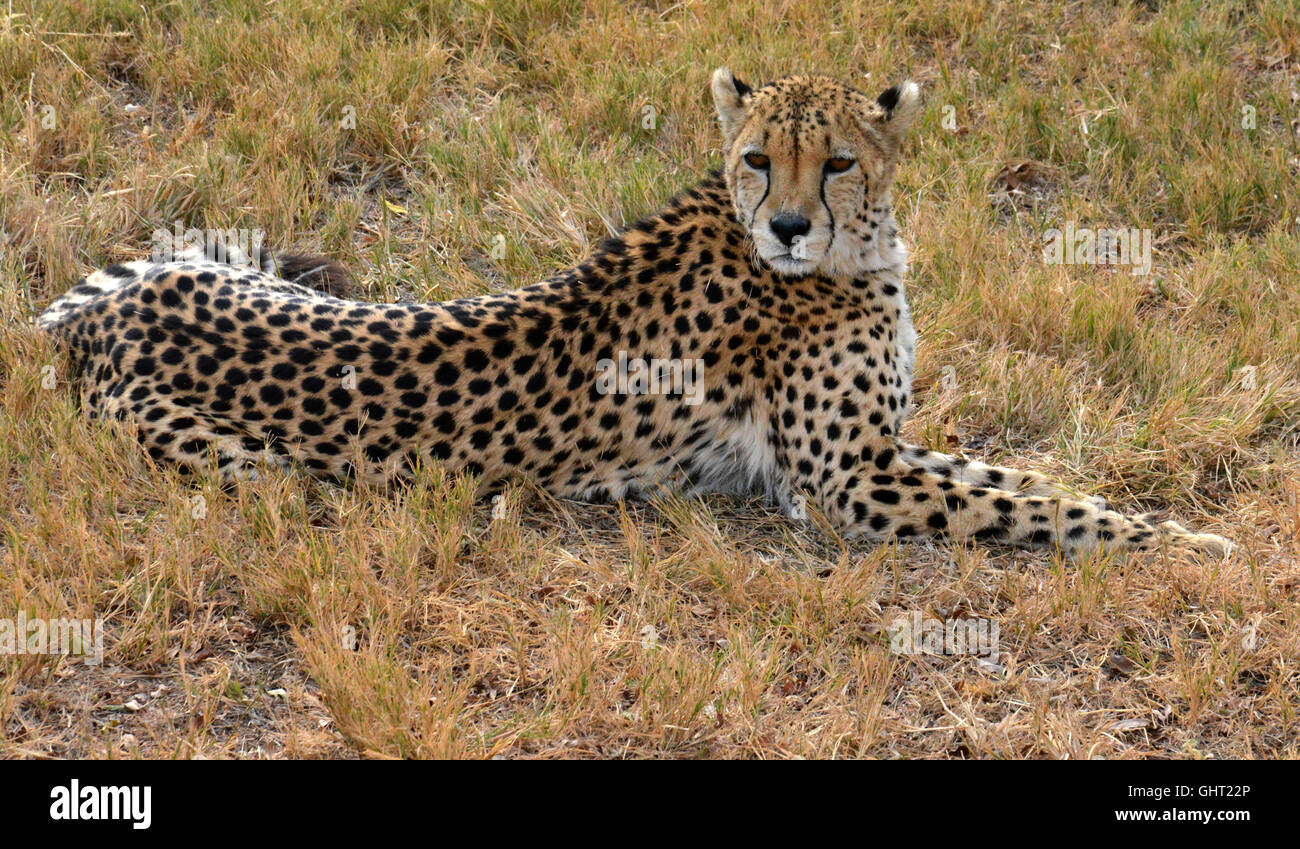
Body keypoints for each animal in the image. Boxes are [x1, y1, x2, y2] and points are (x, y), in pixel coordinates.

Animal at [36, 68, 1231, 560]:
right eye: (759, 158)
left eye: (838, 161)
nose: (789, 225)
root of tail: (100, 319)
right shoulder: (849, 481)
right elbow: (1038, 504)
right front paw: (1190, 543)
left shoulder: (876, 455)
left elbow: (1029, 482)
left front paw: (1169, 525)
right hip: (258, 468)